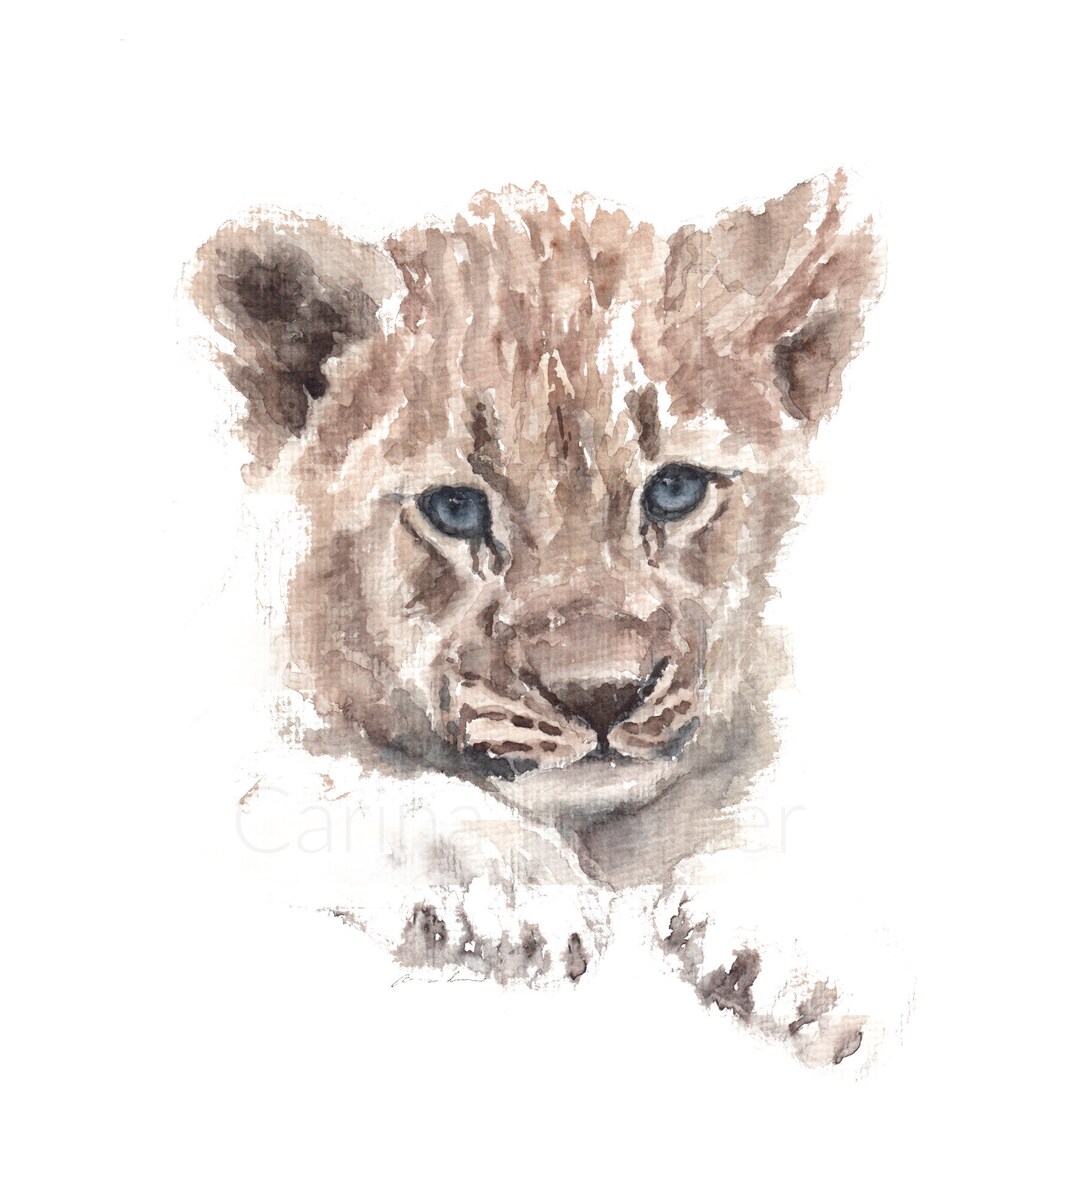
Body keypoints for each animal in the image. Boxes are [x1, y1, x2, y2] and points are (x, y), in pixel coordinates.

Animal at [191, 172, 893, 1066]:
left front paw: (798, 936)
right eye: (454, 509)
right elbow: (353, 778)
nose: (602, 695)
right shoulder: (256, 739)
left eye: (675, 490)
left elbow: (775, 775)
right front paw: (524, 885)